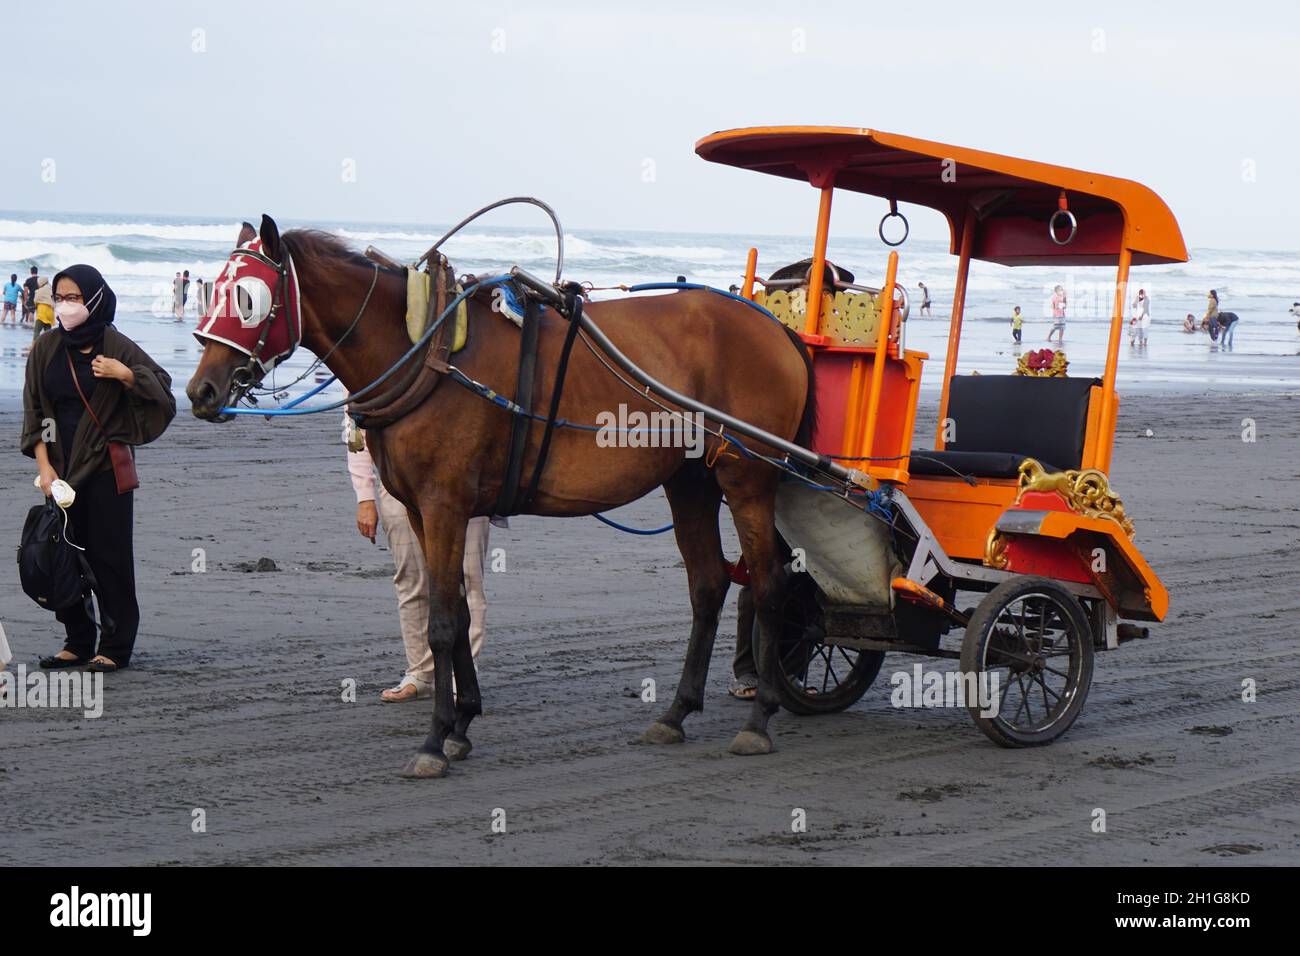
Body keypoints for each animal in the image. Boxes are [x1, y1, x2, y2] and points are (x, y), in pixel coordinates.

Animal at [186, 215, 816, 778]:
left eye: (247, 299)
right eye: (215, 289)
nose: (200, 391)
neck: (426, 348)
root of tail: (776, 328)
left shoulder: (444, 504)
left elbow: (443, 621)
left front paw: (434, 740)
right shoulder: (424, 511)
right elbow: (459, 610)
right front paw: (462, 723)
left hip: (746, 478)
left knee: (768, 584)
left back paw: (760, 717)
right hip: (689, 482)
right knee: (708, 584)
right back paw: (676, 713)